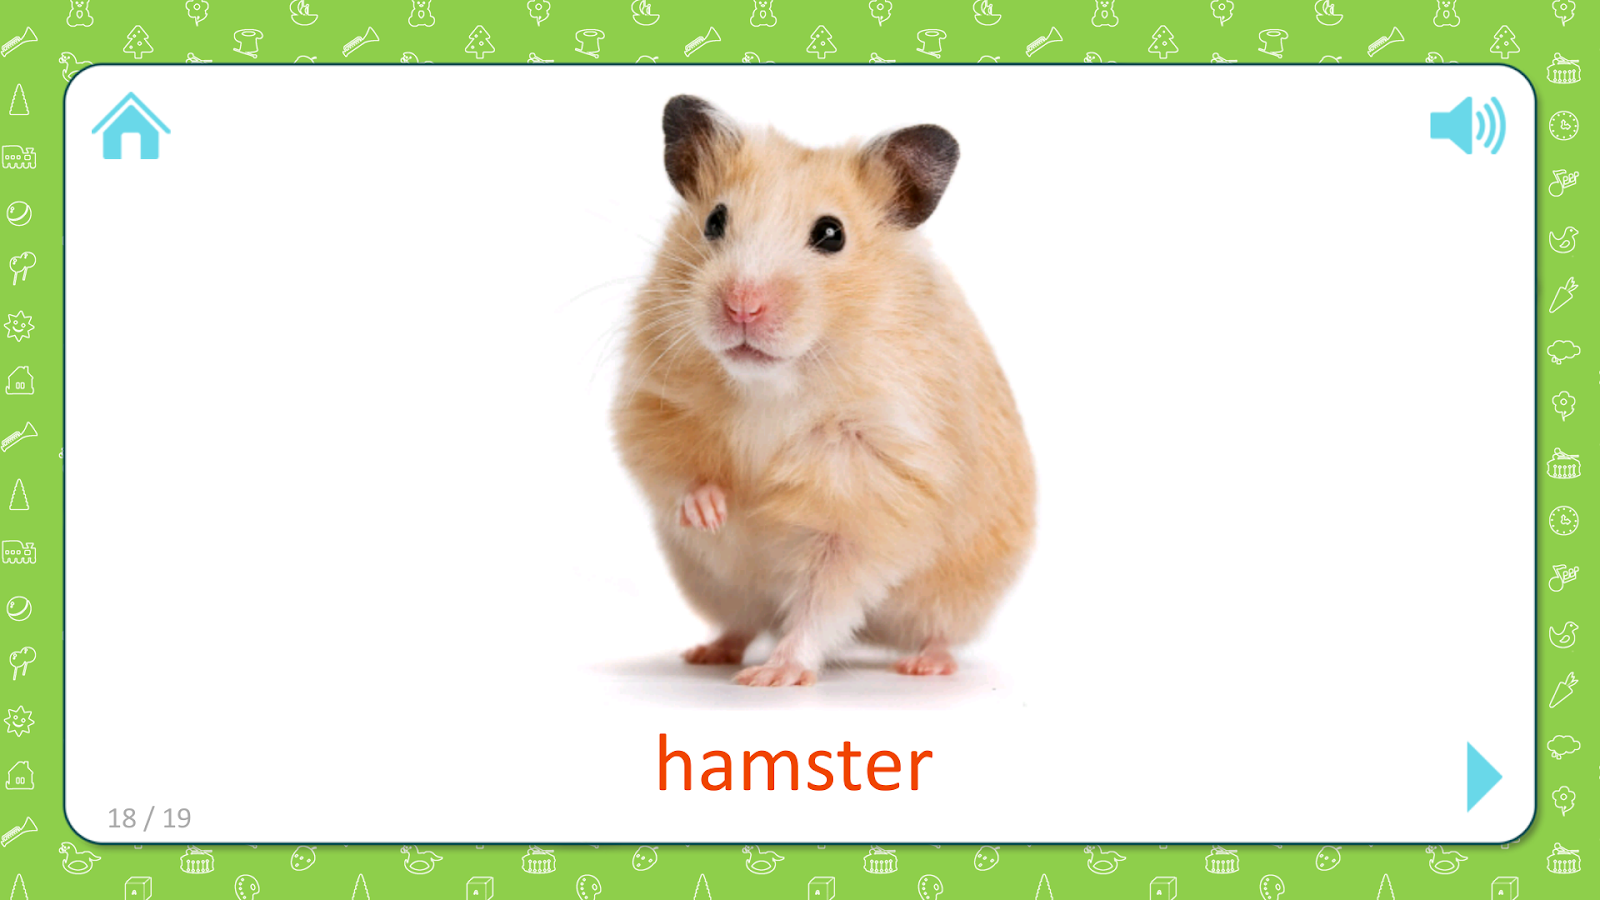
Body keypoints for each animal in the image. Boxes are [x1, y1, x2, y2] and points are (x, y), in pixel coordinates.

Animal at [612, 95, 1036, 686]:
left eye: (832, 234)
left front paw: (774, 677)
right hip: (716, 586)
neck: (772, 385)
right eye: (715, 220)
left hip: (959, 593)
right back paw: (707, 653)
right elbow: (674, 470)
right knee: (743, 622)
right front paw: (714, 512)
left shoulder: (871, 499)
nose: (742, 306)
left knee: (936, 630)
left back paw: (923, 665)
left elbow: (824, 599)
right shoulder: (651, 401)